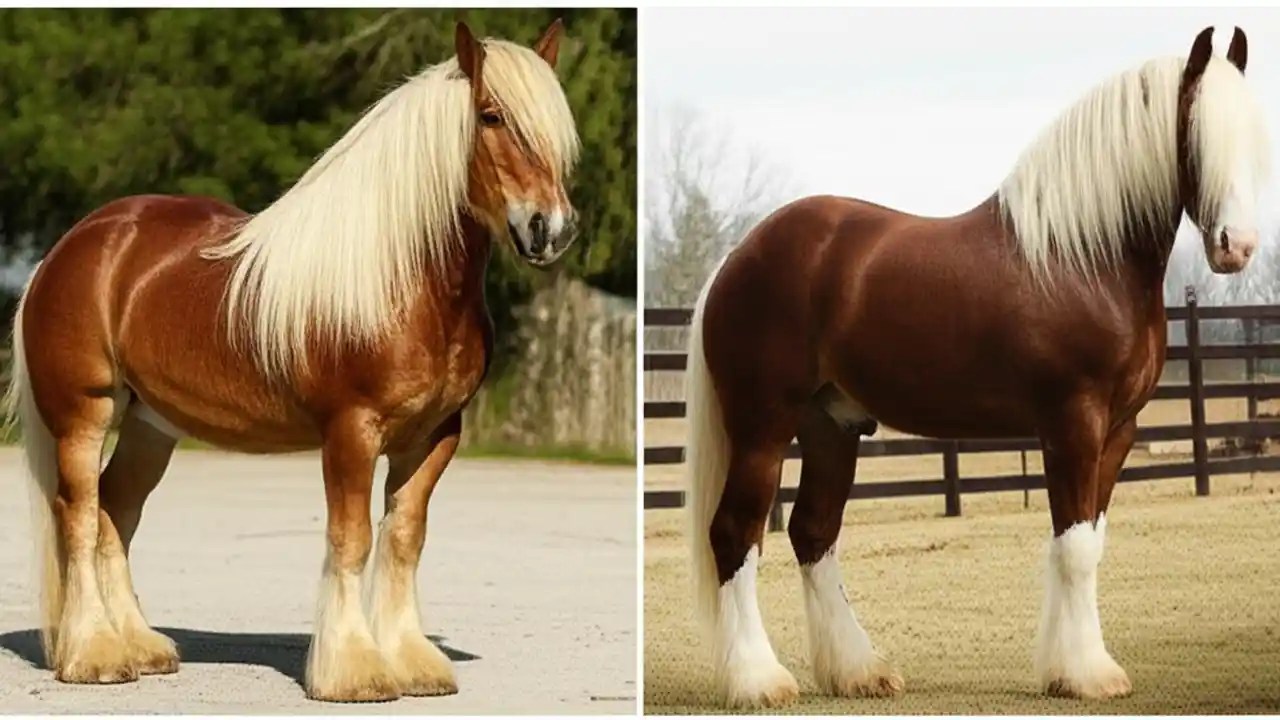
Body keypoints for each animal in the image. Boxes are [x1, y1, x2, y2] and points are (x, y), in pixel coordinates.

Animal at [3, 20, 579, 703]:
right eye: (491, 115)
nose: (551, 229)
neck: (402, 276)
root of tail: (73, 246)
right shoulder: (351, 432)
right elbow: (352, 539)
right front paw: (354, 670)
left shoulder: (434, 436)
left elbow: (404, 538)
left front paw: (413, 663)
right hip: (83, 417)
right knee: (80, 515)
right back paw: (95, 654)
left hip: (151, 426)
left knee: (116, 512)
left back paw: (141, 647)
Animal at [685, 26, 1270, 708]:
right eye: (1196, 133)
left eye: (1252, 137)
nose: (1237, 247)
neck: (1086, 259)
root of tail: (736, 258)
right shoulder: (1073, 423)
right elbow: (1075, 548)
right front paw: (1086, 674)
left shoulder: (1119, 431)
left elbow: (1086, 544)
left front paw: (1071, 668)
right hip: (763, 427)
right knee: (736, 533)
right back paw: (759, 680)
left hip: (830, 426)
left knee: (813, 532)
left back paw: (859, 670)